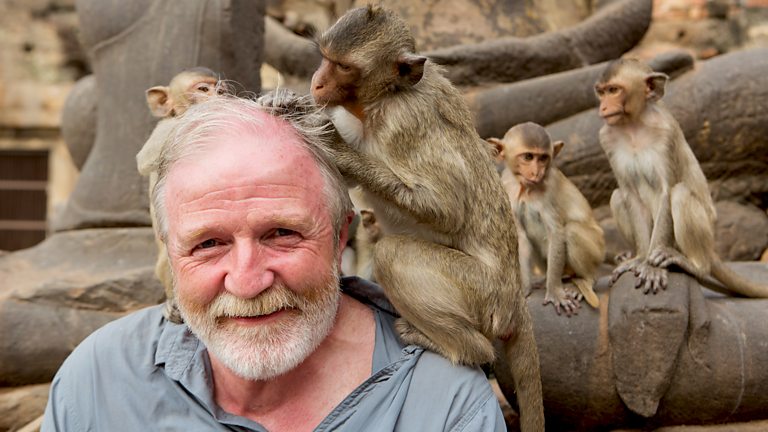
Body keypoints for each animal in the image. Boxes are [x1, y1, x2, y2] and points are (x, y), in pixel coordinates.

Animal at [311, 6, 544, 430]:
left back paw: (465, 348)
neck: (383, 100)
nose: (317, 82)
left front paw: (333, 144)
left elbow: (447, 208)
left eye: (343, 67)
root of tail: (515, 301)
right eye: (325, 58)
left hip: (480, 293)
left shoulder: (404, 122)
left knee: (392, 255)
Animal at [488, 122, 605, 316]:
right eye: (528, 156)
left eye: (543, 158)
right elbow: (521, 238)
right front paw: (524, 289)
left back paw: (587, 279)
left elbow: (556, 234)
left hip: (598, 250)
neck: (526, 189)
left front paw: (555, 293)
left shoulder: (550, 189)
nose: (537, 173)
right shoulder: (508, 188)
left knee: (571, 231)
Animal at [595, 58, 768, 298]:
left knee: (681, 194)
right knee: (618, 197)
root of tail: (710, 250)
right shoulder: (606, 139)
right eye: (601, 92)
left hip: (700, 238)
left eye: (614, 90)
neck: (634, 126)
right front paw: (640, 258)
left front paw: (651, 267)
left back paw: (693, 265)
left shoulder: (666, 135)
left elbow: (667, 192)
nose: (603, 107)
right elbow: (630, 196)